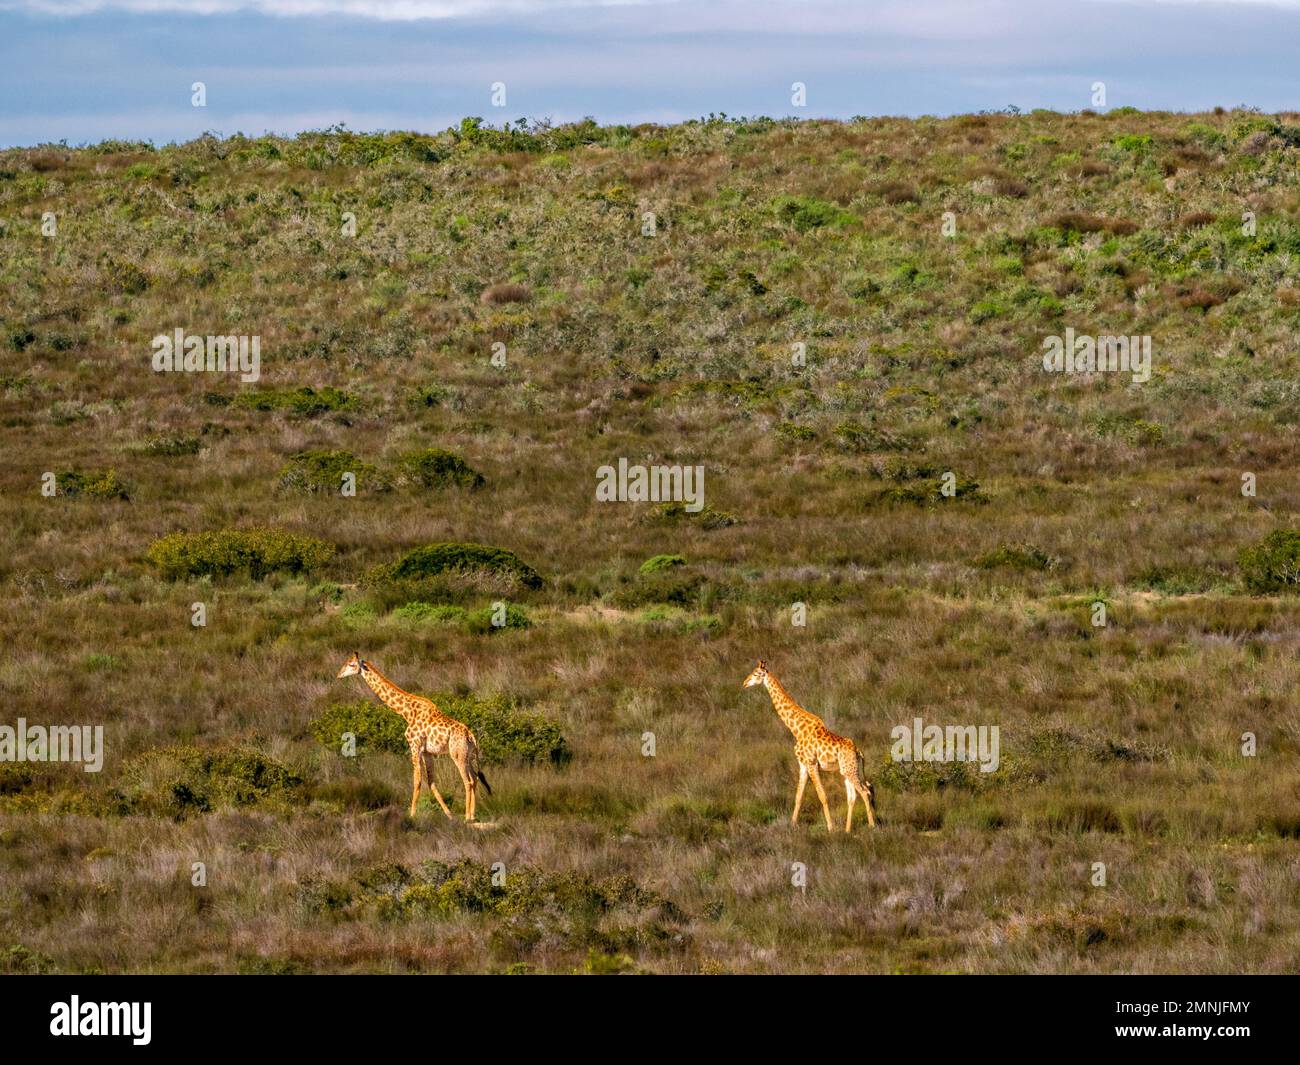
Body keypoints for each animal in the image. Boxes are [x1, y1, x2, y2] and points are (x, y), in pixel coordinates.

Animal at [336, 653, 491, 821]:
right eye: (346, 662)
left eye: (351, 664)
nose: (338, 675)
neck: (406, 712)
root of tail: (471, 736)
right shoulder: (427, 752)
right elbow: (431, 782)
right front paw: (448, 814)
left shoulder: (414, 745)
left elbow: (417, 780)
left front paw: (412, 814)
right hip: (467, 755)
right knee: (475, 778)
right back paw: (473, 815)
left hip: (457, 755)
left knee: (468, 781)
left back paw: (467, 817)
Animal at [742, 660, 876, 832]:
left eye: (756, 674)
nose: (745, 683)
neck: (796, 729)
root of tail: (859, 752)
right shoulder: (803, 765)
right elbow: (798, 796)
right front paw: (792, 825)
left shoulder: (812, 764)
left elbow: (822, 796)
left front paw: (830, 828)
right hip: (849, 771)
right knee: (853, 796)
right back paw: (847, 830)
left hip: (850, 771)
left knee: (865, 792)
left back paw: (872, 826)